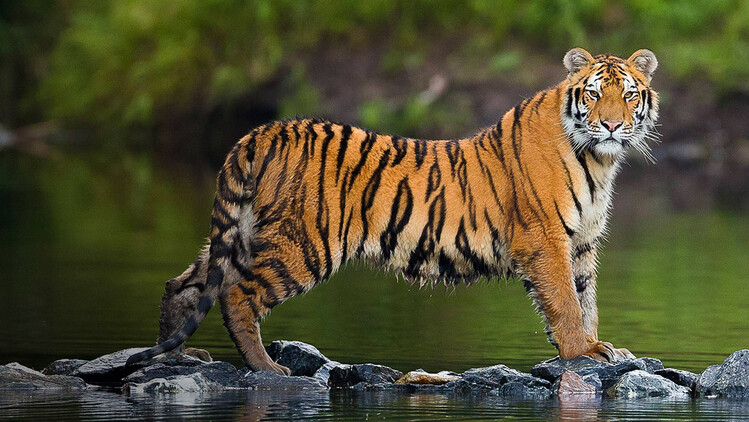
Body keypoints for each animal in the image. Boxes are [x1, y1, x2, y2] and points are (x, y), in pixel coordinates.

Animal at [126, 48, 660, 375]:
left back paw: (173, 356)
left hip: (242, 230)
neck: (599, 160)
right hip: (304, 243)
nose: (612, 125)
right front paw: (580, 352)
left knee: (186, 284)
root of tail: (265, 130)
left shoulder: (582, 241)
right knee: (238, 294)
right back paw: (265, 367)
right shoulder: (544, 237)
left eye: (629, 94)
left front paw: (597, 346)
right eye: (594, 93)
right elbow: (566, 302)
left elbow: (586, 299)